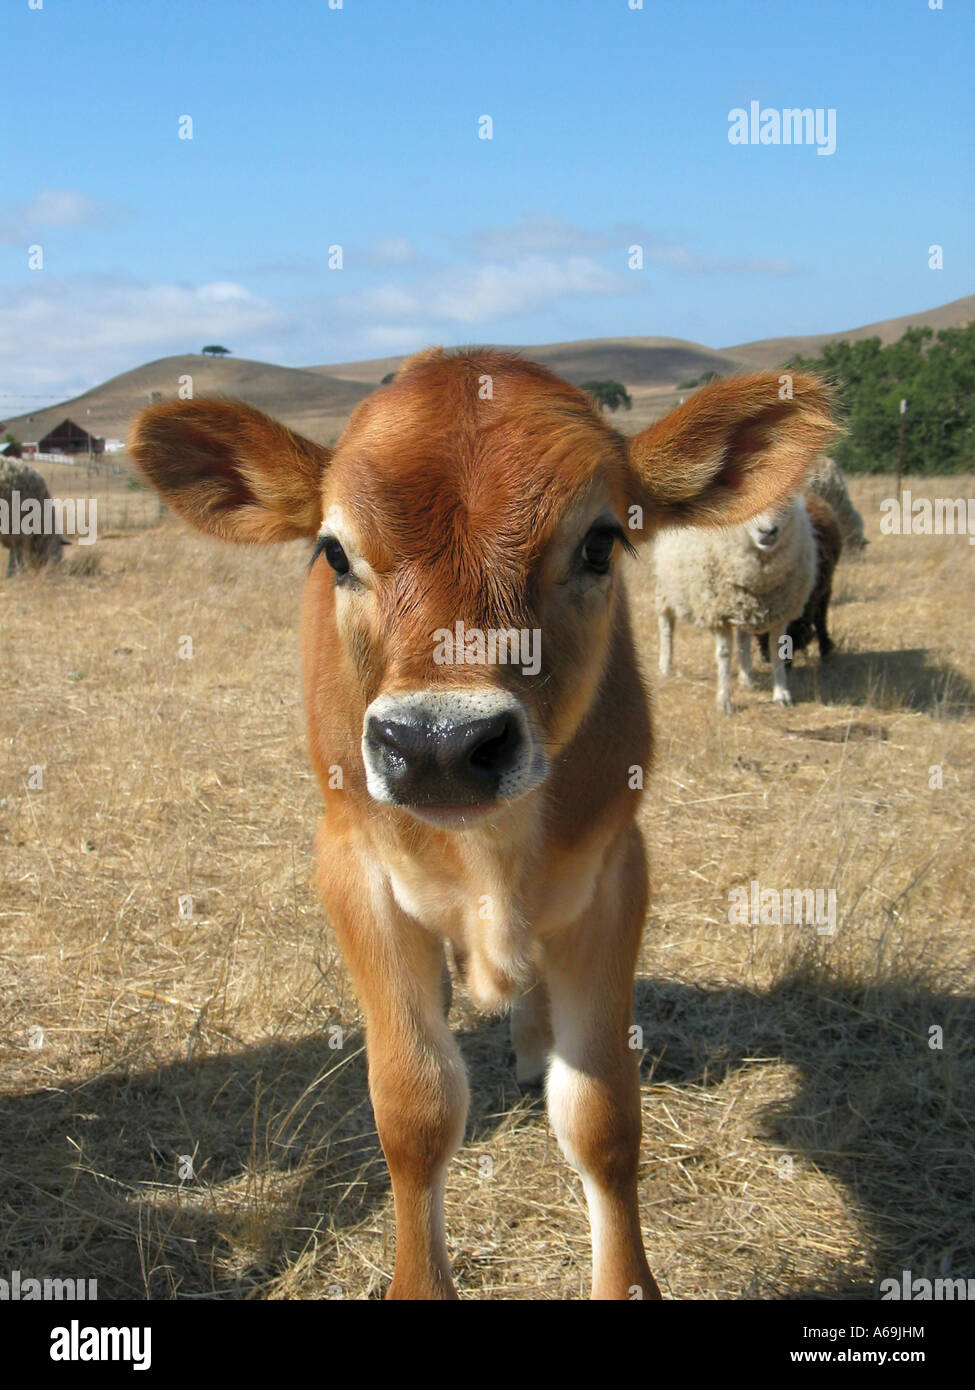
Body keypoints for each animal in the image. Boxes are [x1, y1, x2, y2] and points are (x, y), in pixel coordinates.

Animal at [653, 495, 815, 712]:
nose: (768, 532)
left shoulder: (781, 612)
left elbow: (778, 650)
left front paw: (782, 694)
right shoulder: (717, 612)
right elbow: (724, 654)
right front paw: (724, 701)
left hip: (741, 606)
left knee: (743, 639)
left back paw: (746, 679)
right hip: (665, 583)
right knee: (666, 624)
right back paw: (665, 666)